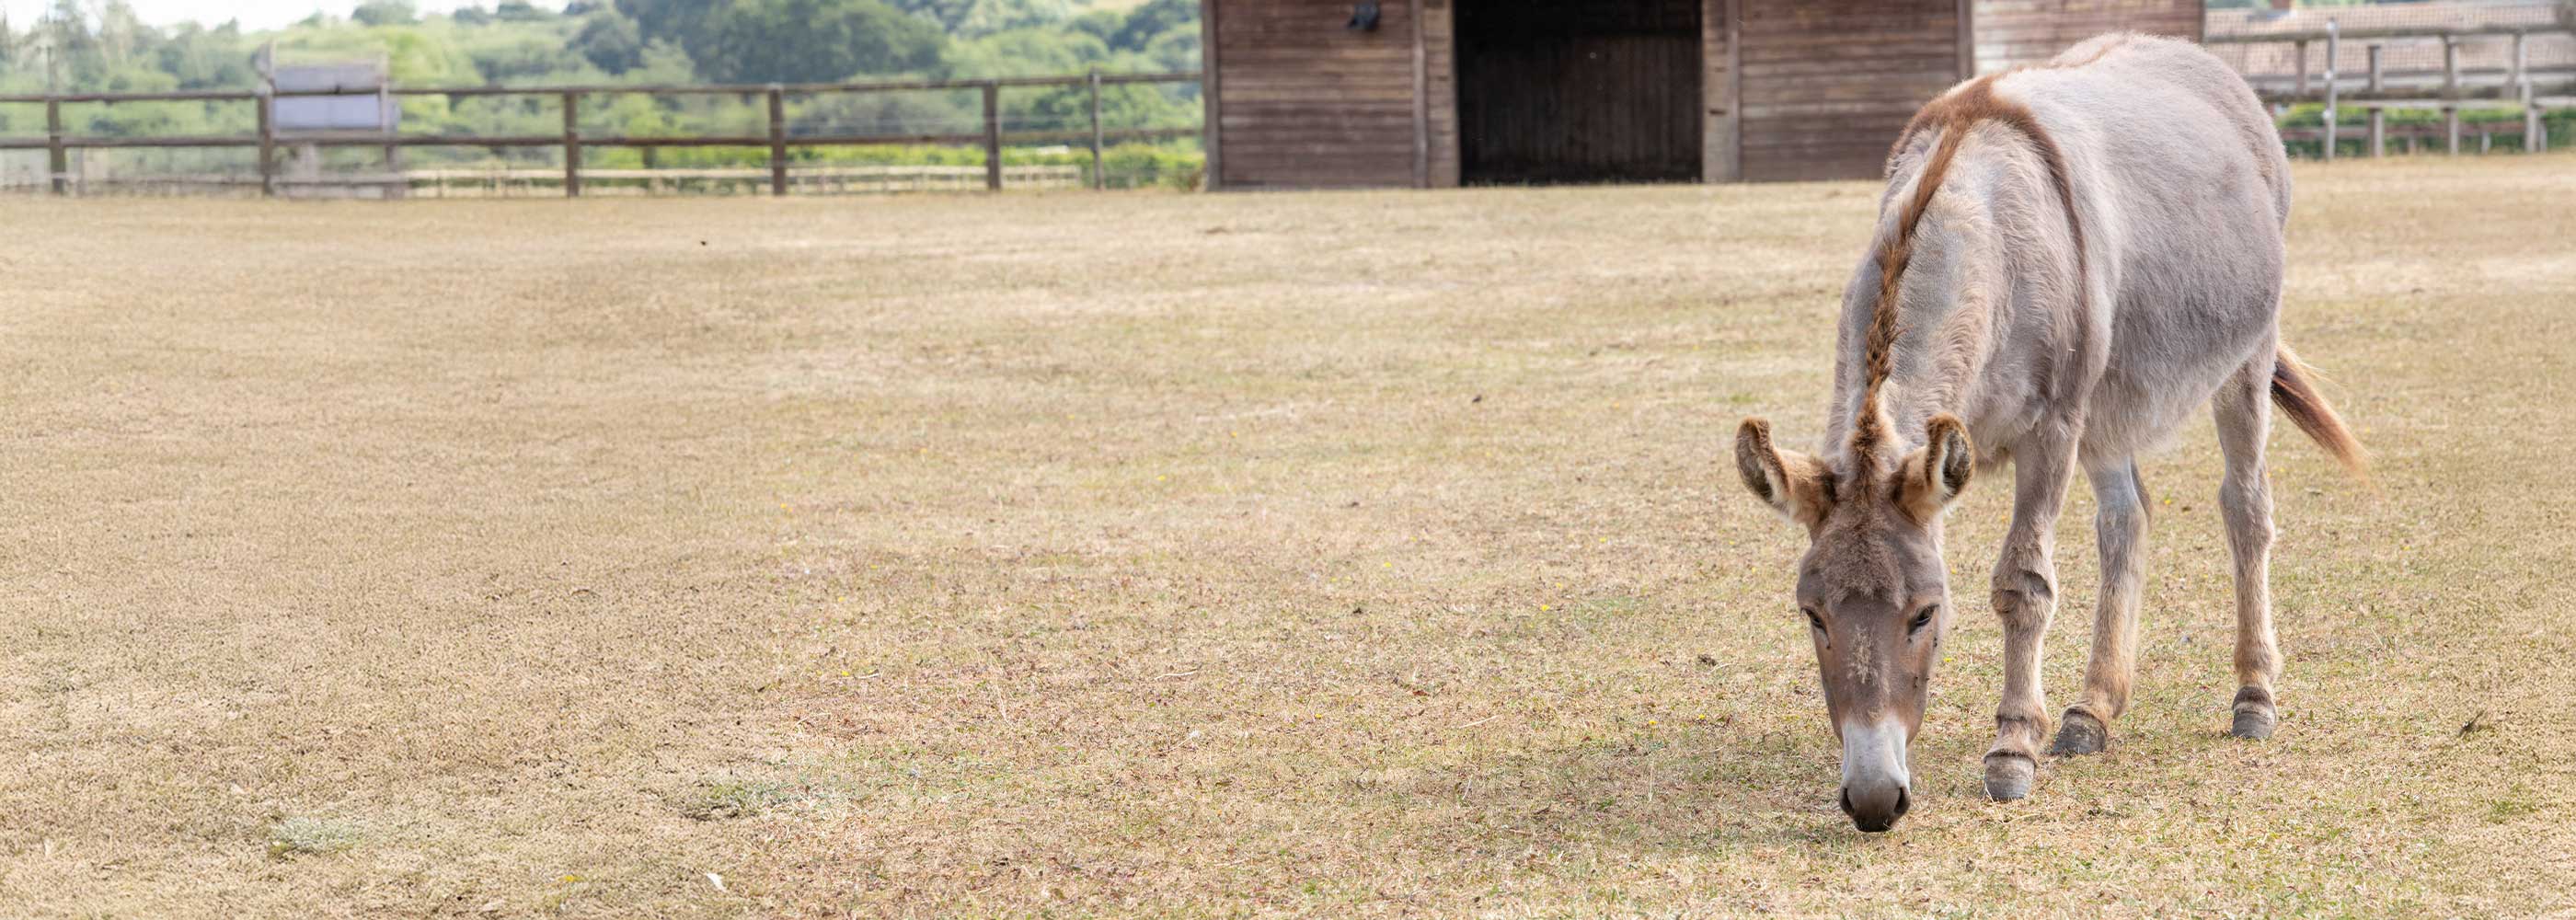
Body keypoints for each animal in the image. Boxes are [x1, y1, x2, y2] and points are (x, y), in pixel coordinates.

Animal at [1729, 33, 2364, 833]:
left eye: (1925, 614)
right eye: (1812, 615)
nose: (1873, 802)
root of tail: (2201, 60)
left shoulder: (2053, 428)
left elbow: (2023, 583)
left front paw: (2011, 751)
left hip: (2243, 361)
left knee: (2246, 510)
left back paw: (2253, 696)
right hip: (2109, 403)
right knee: (2127, 520)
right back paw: (2092, 711)